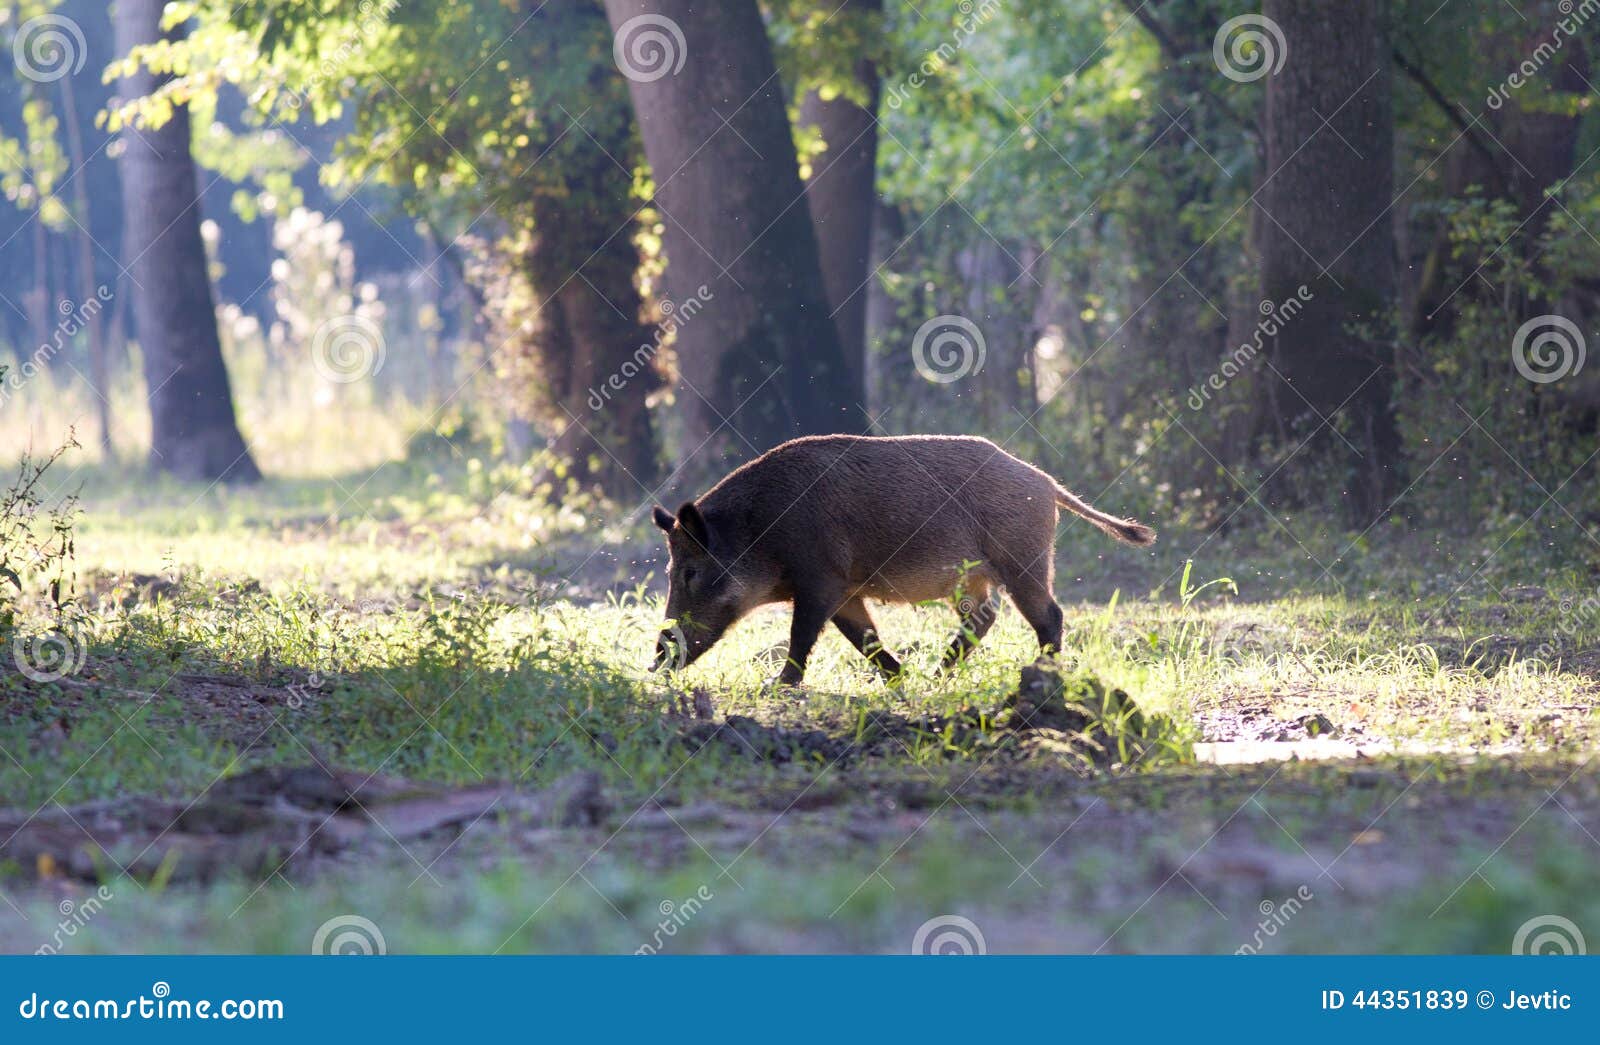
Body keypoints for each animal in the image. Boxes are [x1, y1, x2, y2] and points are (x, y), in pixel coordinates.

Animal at [651, 434, 1155, 684]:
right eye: (670, 570)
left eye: (692, 572)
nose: (656, 662)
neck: (759, 532)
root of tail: (1049, 483)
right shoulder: (845, 590)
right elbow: (865, 638)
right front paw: (900, 680)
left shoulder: (821, 579)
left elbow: (803, 635)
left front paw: (777, 686)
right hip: (973, 579)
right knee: (984, 617)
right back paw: (935, 676)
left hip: (1023, 560)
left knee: (1049, 614)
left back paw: (1041, 673)